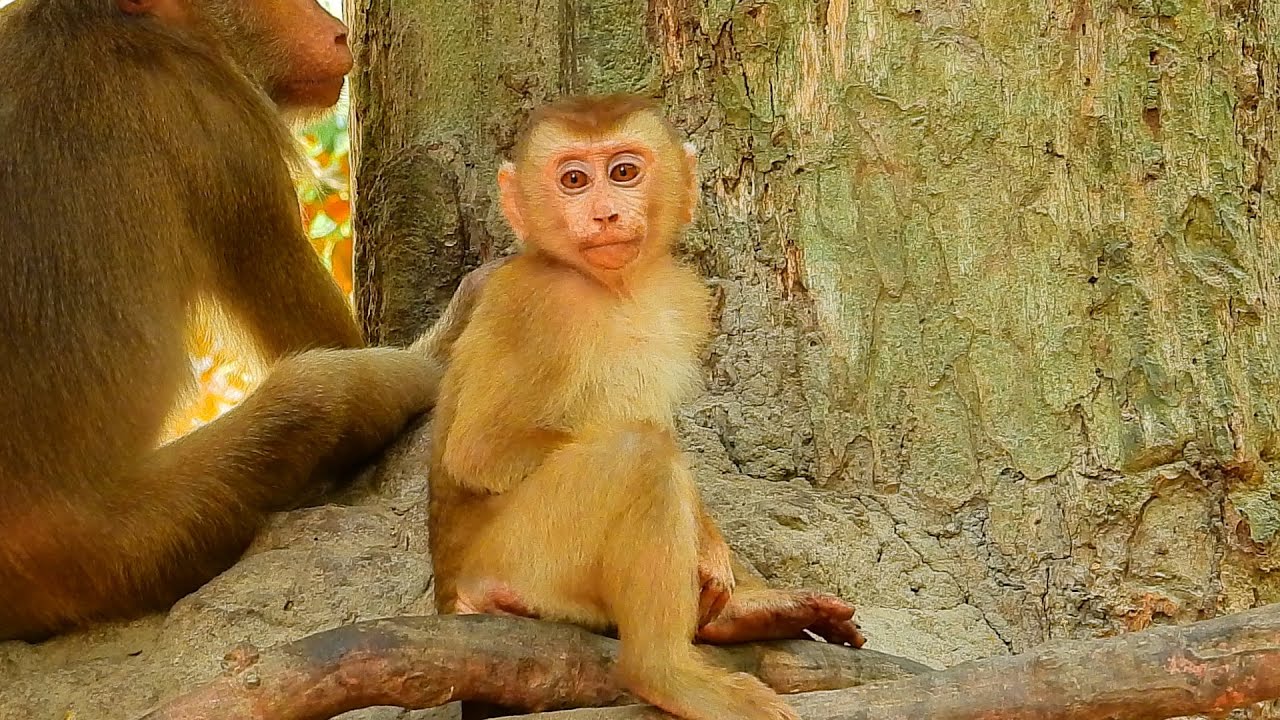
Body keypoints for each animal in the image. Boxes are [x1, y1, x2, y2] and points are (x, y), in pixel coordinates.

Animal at [428, 94, 863, 720]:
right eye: (574, 180)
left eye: (624, 172)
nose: (605, 214)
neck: (616, 291)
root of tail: (448, 597)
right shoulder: (536, 304)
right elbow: (482, 453)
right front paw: (706, 546)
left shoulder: (683, 297)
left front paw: (713, 549)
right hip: (520, 562)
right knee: (640, 454)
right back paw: (666, 672)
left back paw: (743, 616)